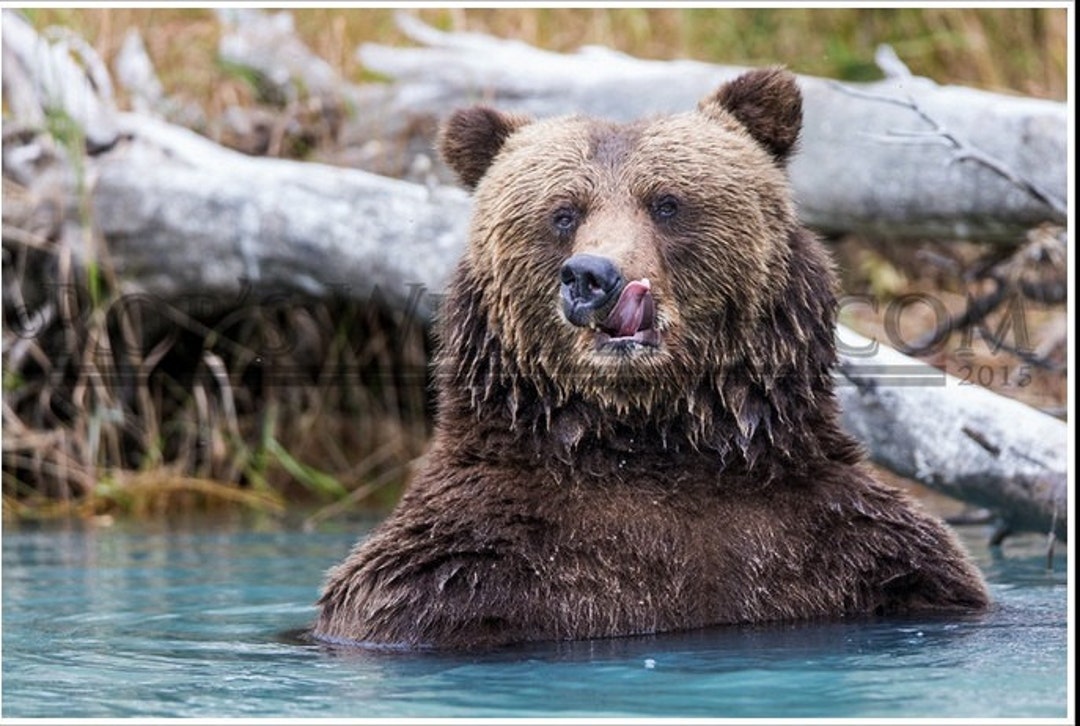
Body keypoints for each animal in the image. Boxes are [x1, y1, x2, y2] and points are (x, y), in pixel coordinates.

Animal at [312, 67, 990, 650]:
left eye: (666, 203)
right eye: (563, 213)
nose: (593, 276)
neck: (648, 439)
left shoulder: (859, 551)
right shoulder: (448, 576)